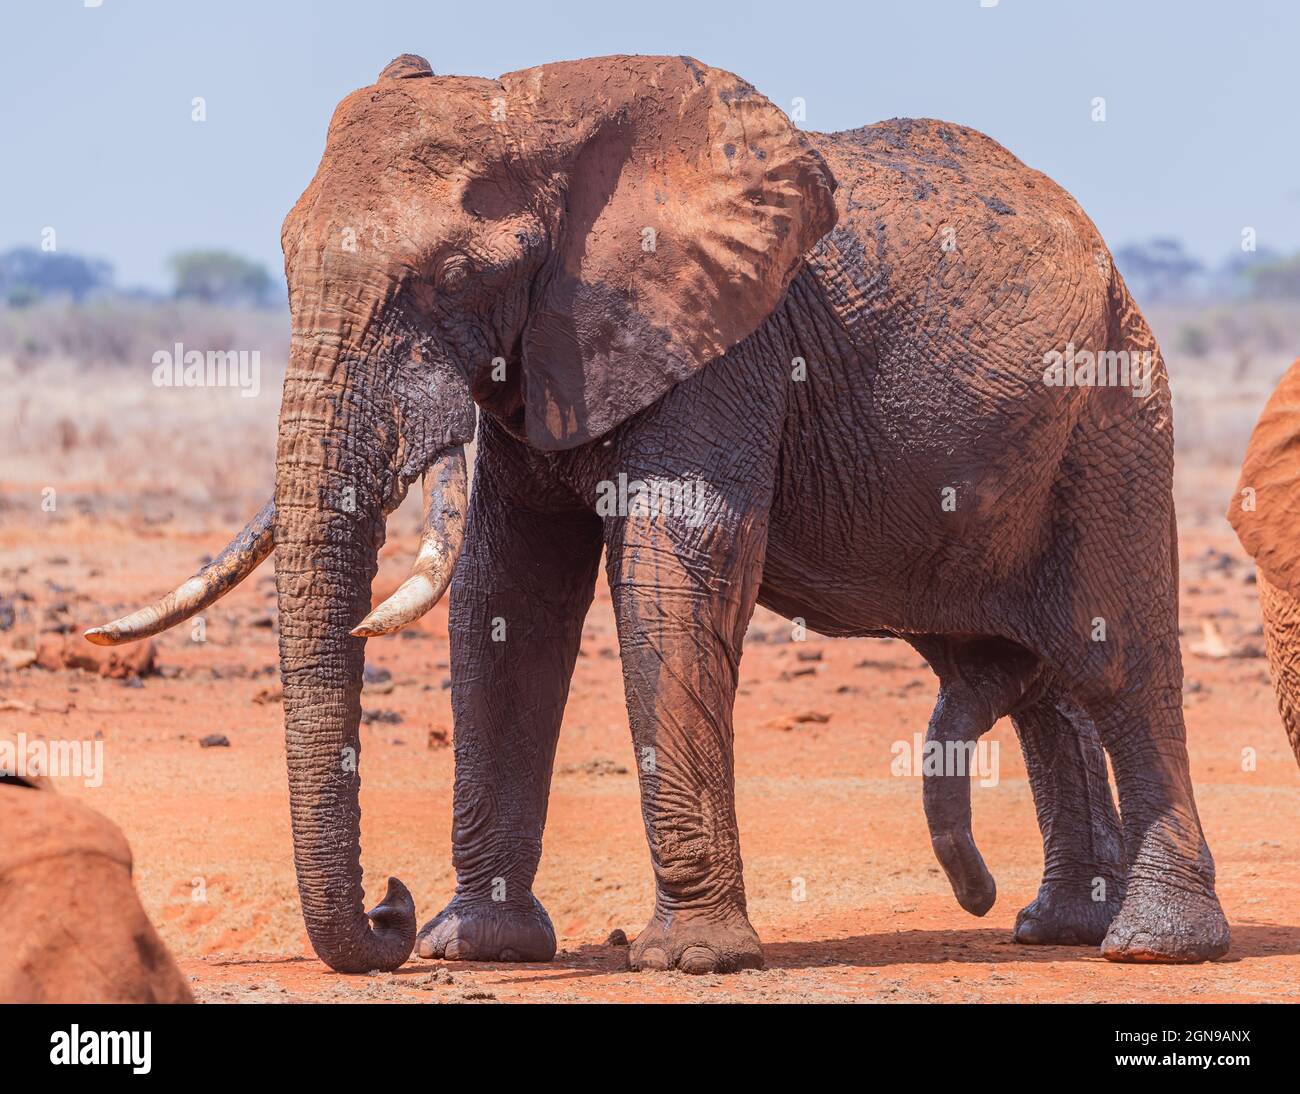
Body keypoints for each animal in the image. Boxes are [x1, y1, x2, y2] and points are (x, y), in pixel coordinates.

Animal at [87, 53, 1228, 974]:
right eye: (285, 266)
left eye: (452, 277)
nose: (389, 908)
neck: (530, 108)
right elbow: (509, 594)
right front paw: (476, 946)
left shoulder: (726, 343)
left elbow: (672, 565)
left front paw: (691, 959)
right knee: (1039, 682)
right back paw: (1055, 928)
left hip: (1115, 412)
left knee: (1114, 662)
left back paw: (1153, 946)